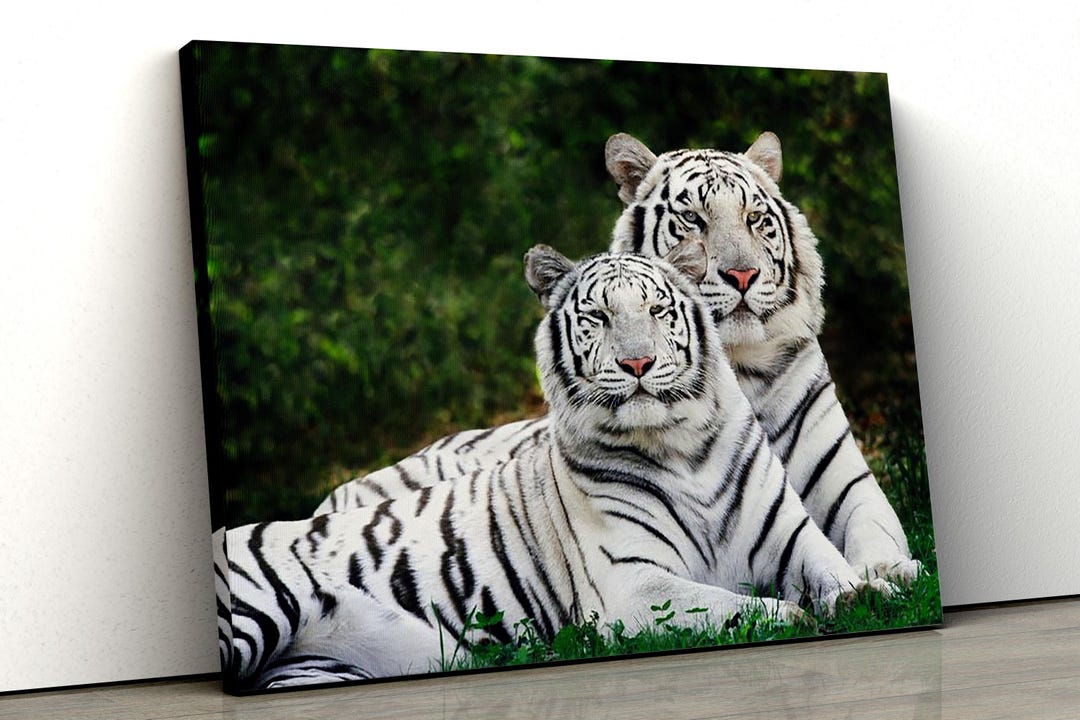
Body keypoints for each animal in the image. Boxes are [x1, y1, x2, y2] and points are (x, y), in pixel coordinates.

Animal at [221, 245, 886, 690]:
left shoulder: (791, 536)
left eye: (658, 310)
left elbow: (834, 569)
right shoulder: (631, 586)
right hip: (260, 611)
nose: (638, 363)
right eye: (598, 318)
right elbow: (727, 606)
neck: (681, 446)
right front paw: (794, 616)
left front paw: (871, 594)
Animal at [316, 132, 922, 585]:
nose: (742, 275)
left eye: (755, 218)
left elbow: (876, 530)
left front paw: (891, 572)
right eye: (694, 221)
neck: (740, 368)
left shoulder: (848, 484)